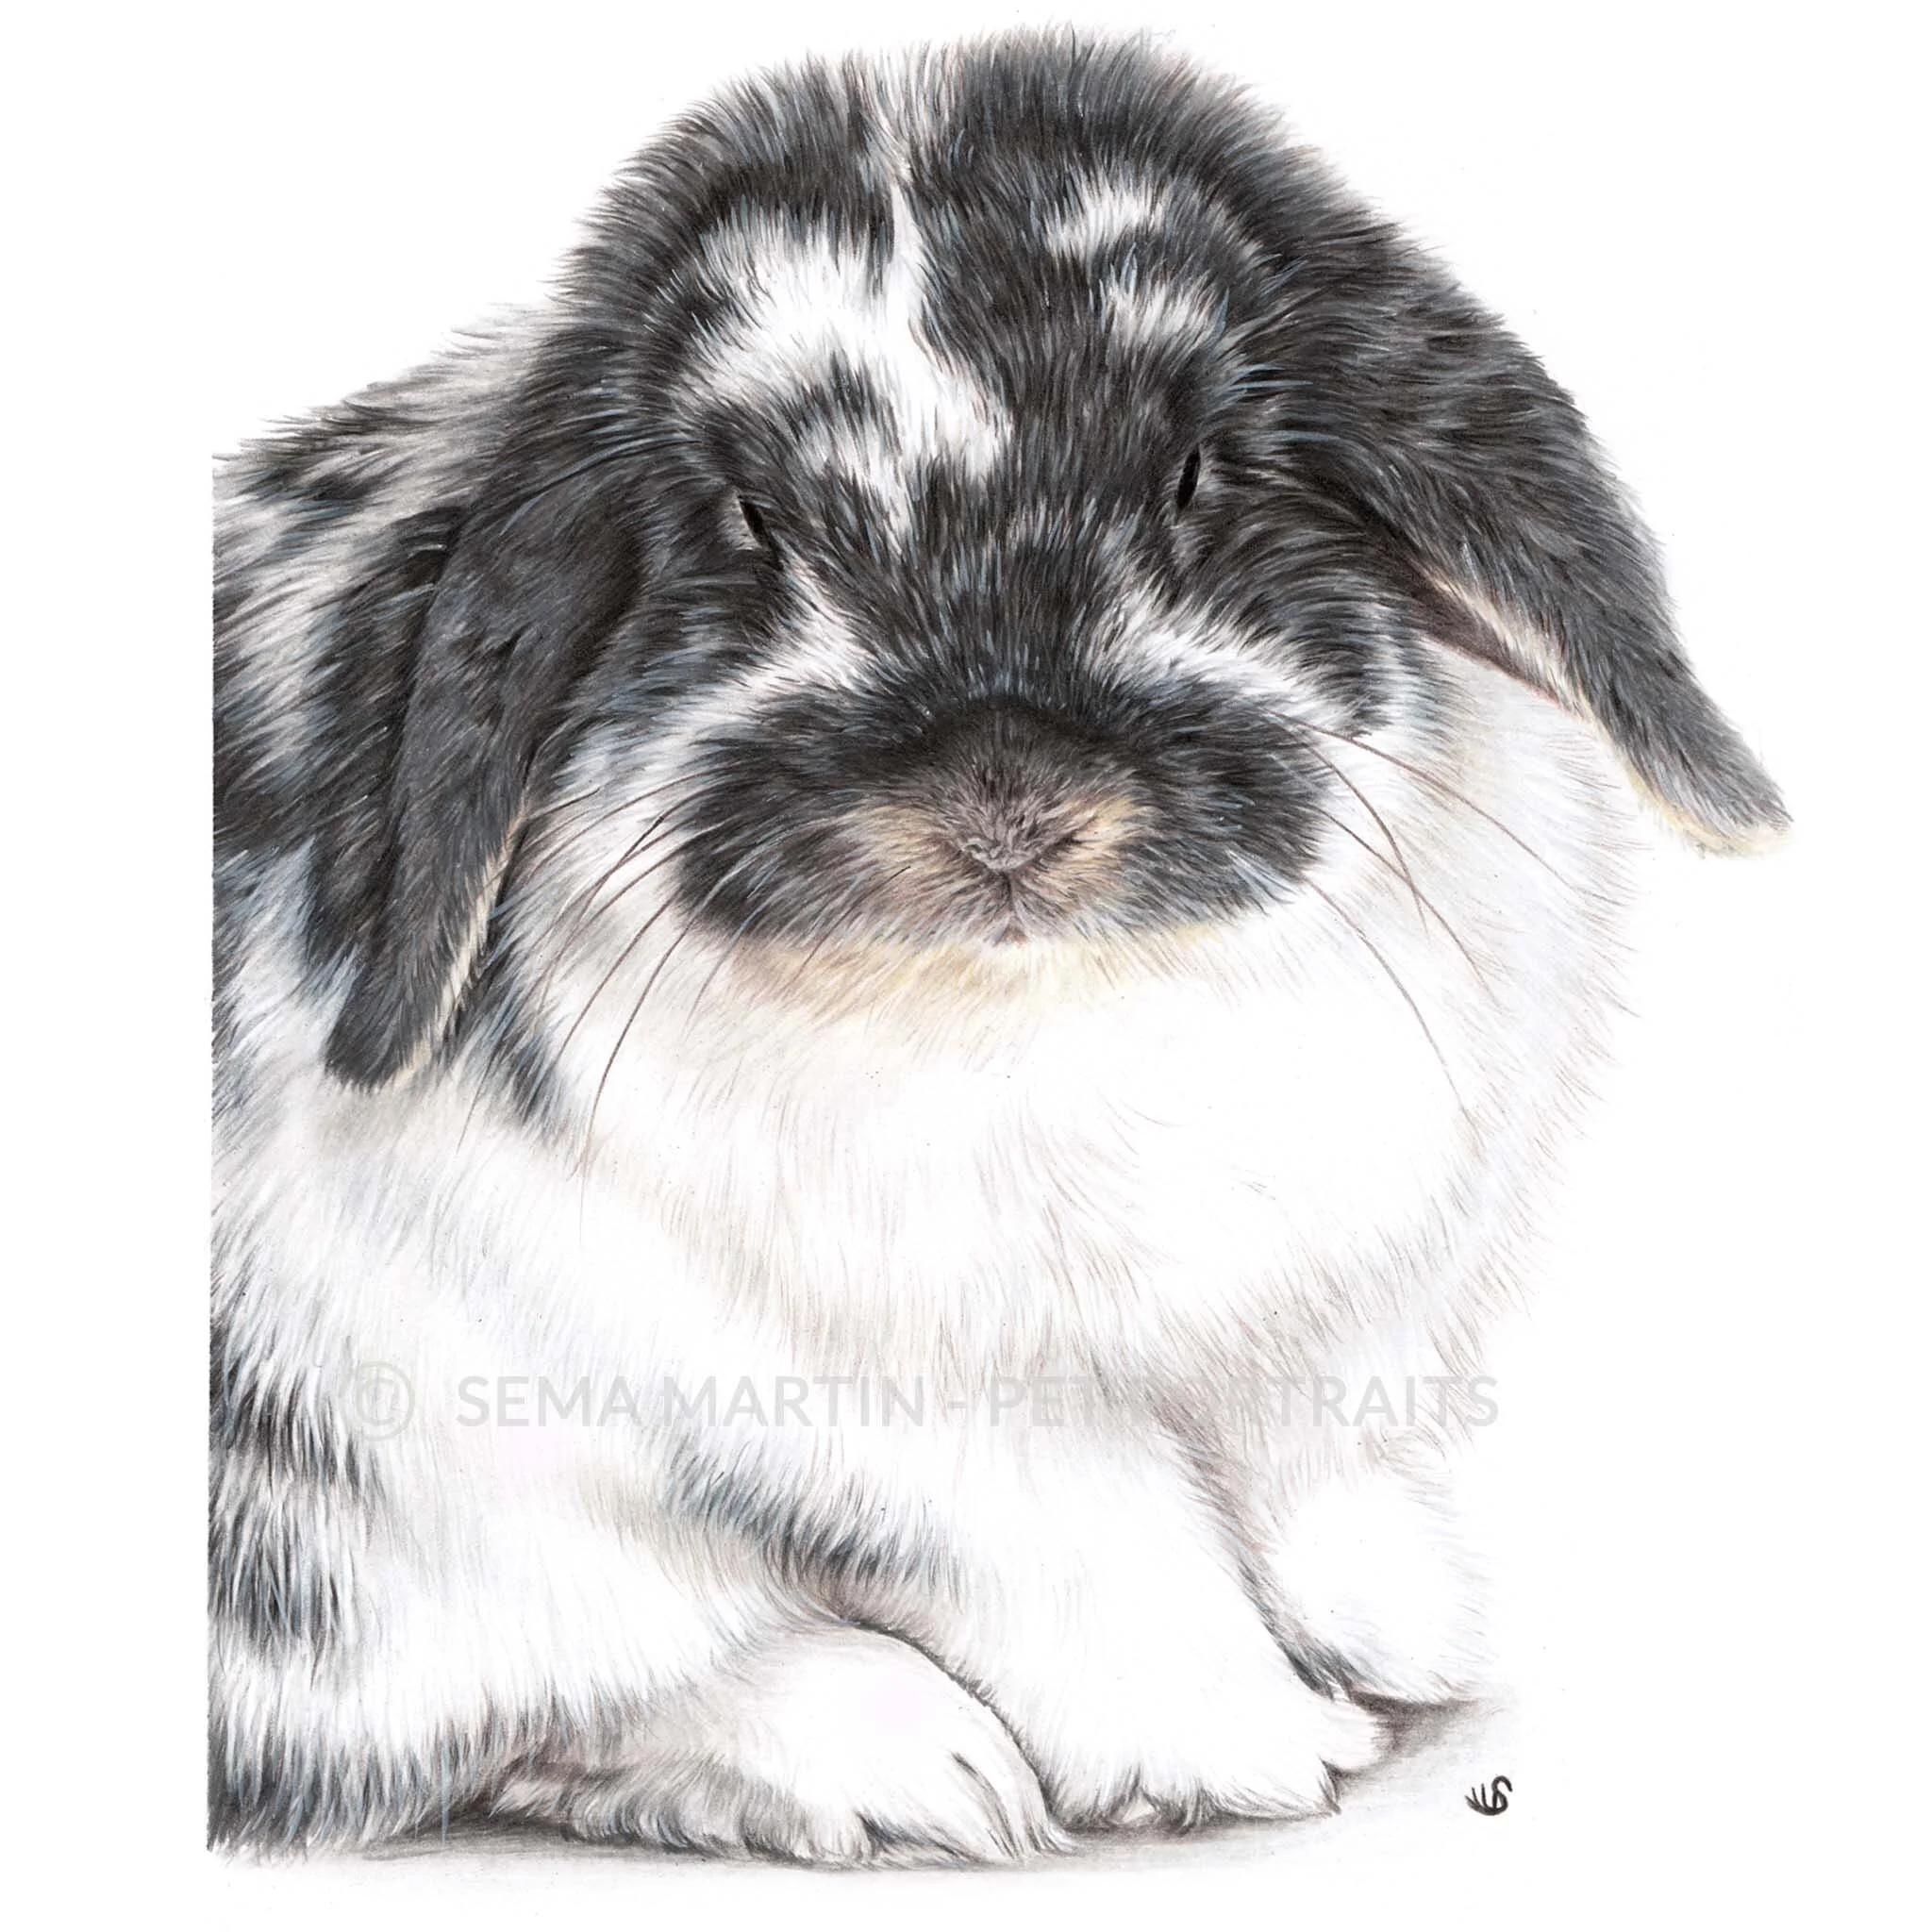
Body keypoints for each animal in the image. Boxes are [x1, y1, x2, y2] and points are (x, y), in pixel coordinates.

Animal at [210, 30, 1784, 1864]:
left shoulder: (1328, 1347)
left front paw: (1395, 1643)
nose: (1008, 799)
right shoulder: (832, 1390)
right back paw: (897, 1756)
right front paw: (1238, 1749)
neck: (1044, 1005)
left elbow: (1309, 1481)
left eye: (1199, 472)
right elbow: (1078, 1532)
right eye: (748, 521)